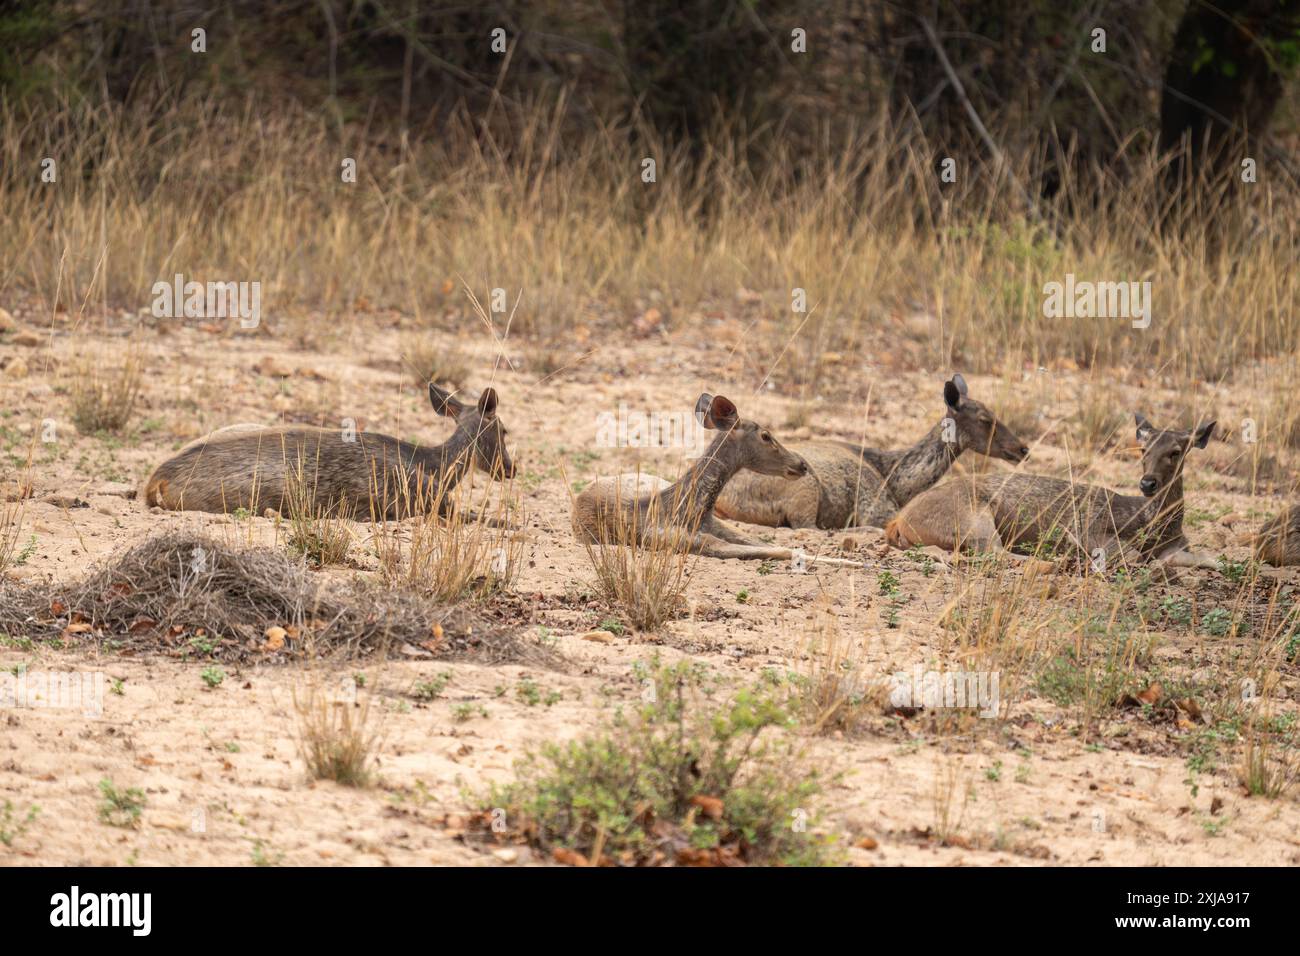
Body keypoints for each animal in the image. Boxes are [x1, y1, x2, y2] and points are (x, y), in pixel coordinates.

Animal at [571, 393, 858, 564]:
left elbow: (766, 542)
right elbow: (778, 549)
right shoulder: (673, 538)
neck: (692, 510)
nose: (801, 464)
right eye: (766, 435)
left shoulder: (716, 523)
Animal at [712, 374, 1029, 530]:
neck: (896, 480)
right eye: (986, 420)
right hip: (805, 491)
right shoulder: (878, 509)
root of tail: (725, 502)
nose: (1022, 448)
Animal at [884, 414, 1218, 571]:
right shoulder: (1090, 531)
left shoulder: (1178, 545)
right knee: (992, 552)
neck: (1151, 526)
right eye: (1143, 450)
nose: (1147, 483)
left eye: (1176, 451)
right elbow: (1135, 556)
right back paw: (1057, 562)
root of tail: (898, 521)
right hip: (972, 517)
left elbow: (1211, 557)